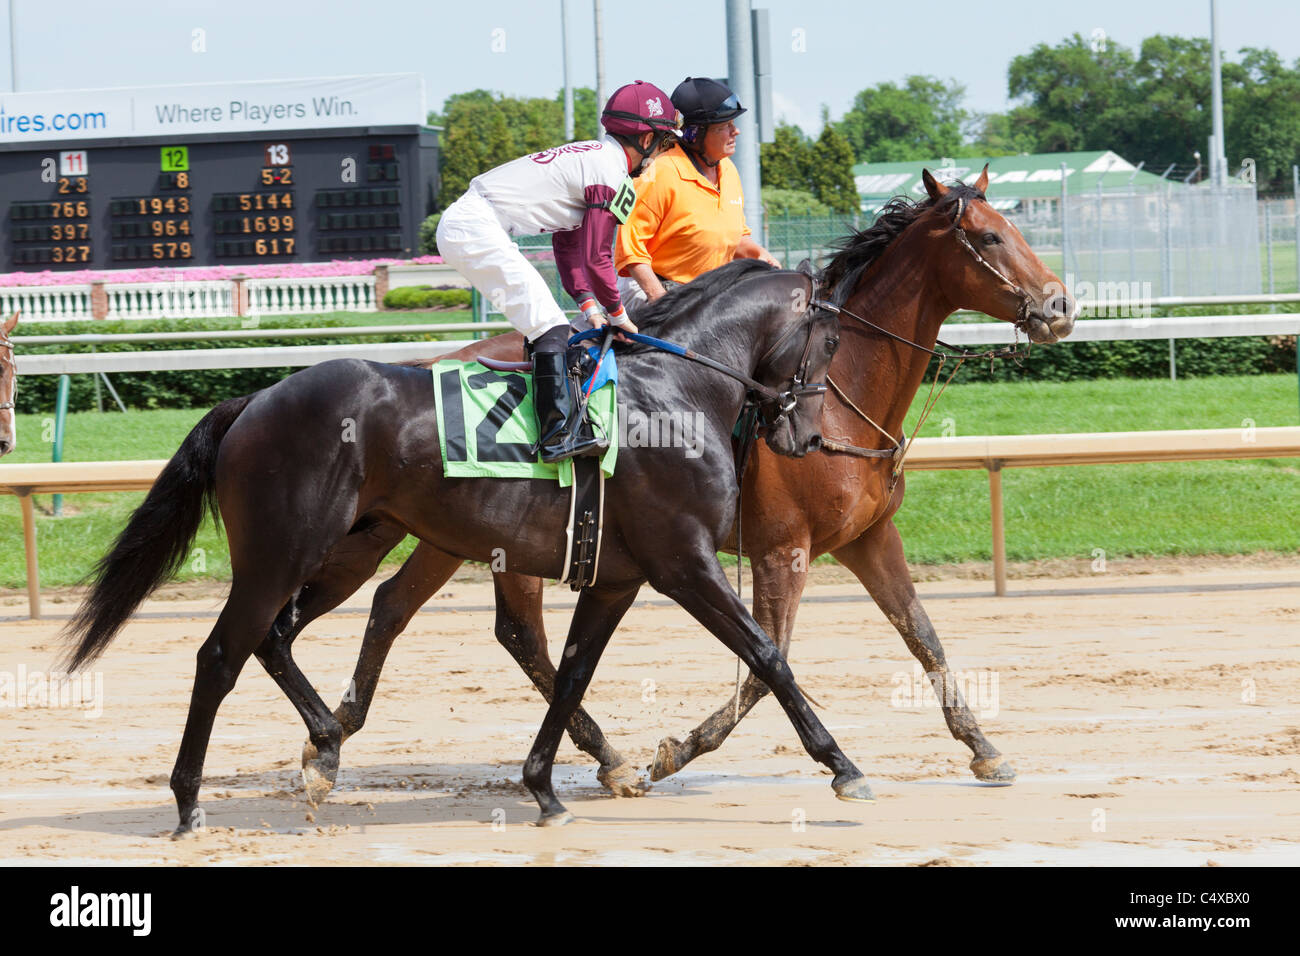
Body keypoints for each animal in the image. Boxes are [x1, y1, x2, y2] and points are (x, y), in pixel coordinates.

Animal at [63, 258, 871, 834]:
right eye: (831, 341)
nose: (807, 438)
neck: (676, 391)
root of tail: (252, 400)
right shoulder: (685, 564)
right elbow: (767, 654)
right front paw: (843, 766)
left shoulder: (617, 577)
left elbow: (572, 674)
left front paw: (547, 785)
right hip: (281, 552)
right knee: (221, 656)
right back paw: (190, 802)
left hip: (345, 546)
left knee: (281, 636)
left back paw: (325, 745)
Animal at [241, 166, 1077, 803]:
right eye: (990, 236)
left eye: (1013, 226)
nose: (1061, 306)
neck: (838, 394)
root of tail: (433, 362)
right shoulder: (778, 551)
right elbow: (764, 663)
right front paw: (681, 750)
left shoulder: (869, 536)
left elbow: (924, 638)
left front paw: (984, 748)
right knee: (478, 627)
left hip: (435, 534)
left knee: (396, 609)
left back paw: (343, 736)